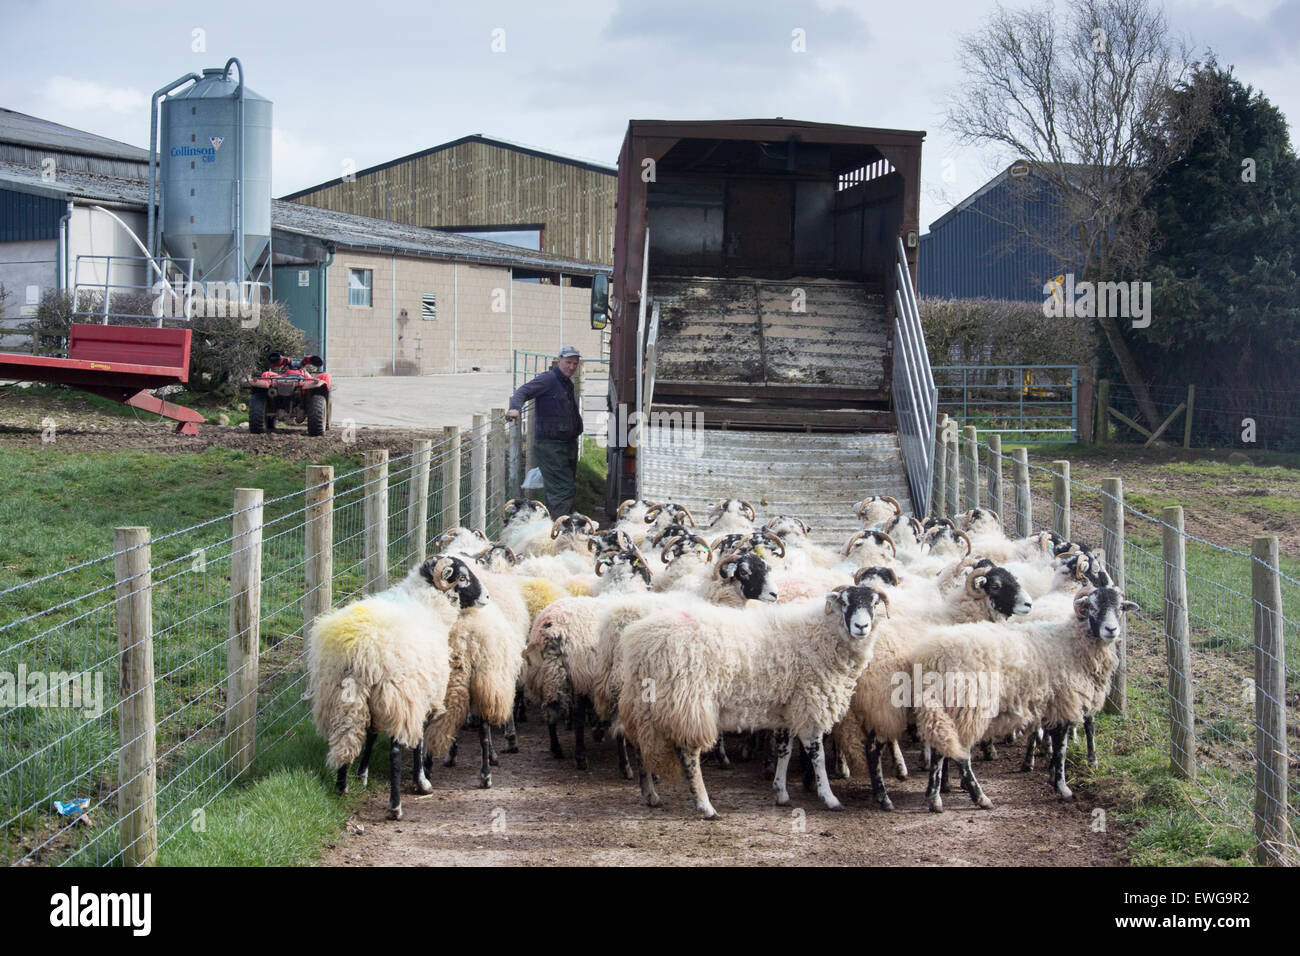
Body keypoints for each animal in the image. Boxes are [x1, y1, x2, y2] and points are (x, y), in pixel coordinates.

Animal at [305, 557, 464, 820]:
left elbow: (370, 736)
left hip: (342, 696)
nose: (486, 597)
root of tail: (357, 650)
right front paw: (422, 782)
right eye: (463, 577)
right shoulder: (418, 697)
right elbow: (419, 739)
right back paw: (395, 806)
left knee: (344, 739)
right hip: (396, 696)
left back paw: (341, 787)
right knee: (395, 752)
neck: (427, 603)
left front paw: (362, 775)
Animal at [618, 584, 888, 818]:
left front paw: (781, 791)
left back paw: (650, 794)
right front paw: (830, 798)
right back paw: (706, 807)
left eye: (874, 603)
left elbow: (785, 750)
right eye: (845, 602)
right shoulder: (809, 704)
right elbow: (817, 755)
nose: (861, 626)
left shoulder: (787, 707)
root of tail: (642, 643)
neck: (822, 633)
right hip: (689, 703)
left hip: (644, 706)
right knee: (689, 756)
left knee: (642, 747)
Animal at [912, 586, 1138, 811]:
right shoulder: (1064, 703)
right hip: (968, 706)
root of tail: (934, 656)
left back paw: (935, 796)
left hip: (947, 707)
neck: (1073, 642)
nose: (1111, 629)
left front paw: (1052, 776)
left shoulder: (1053, 706)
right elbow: (1061, 749)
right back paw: (977, 797)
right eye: (1091, 607)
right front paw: (1062, 788)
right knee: (960, 756)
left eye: (1120, 607)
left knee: (940, 747)